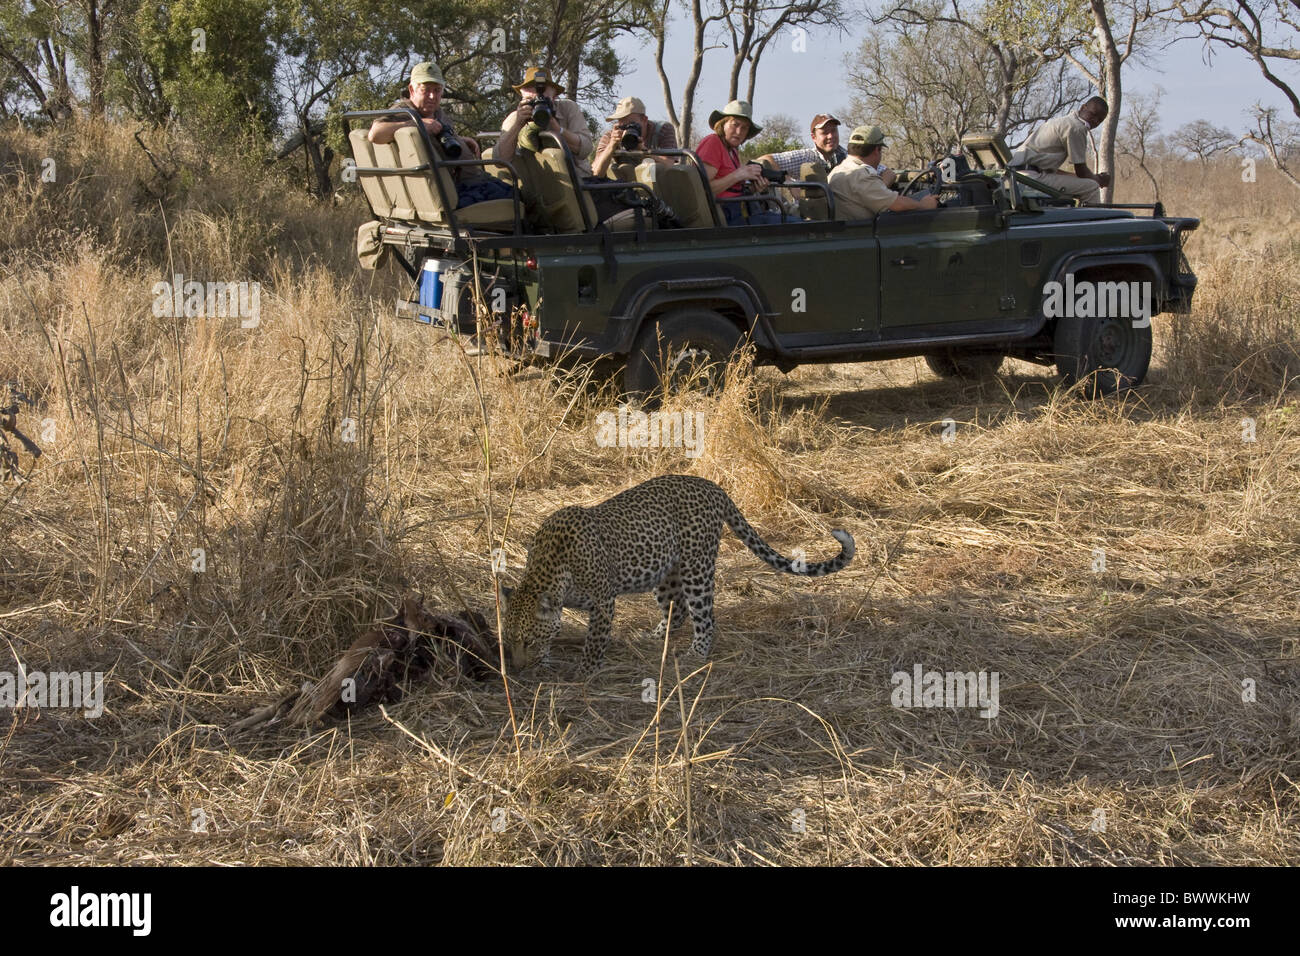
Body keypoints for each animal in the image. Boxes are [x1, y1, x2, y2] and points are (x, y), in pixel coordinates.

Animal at [500, 474, 854, 675]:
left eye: (528, 640)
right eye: (509, 640)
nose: (516, 670)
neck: (551, 568)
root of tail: (713, 486)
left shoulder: (603, 601)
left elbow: (595, 640)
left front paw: (585, 671)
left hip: (697, 567)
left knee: (705, 617)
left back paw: (695, 655)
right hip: (665, 573)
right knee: (678, 611)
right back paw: (655, 637)